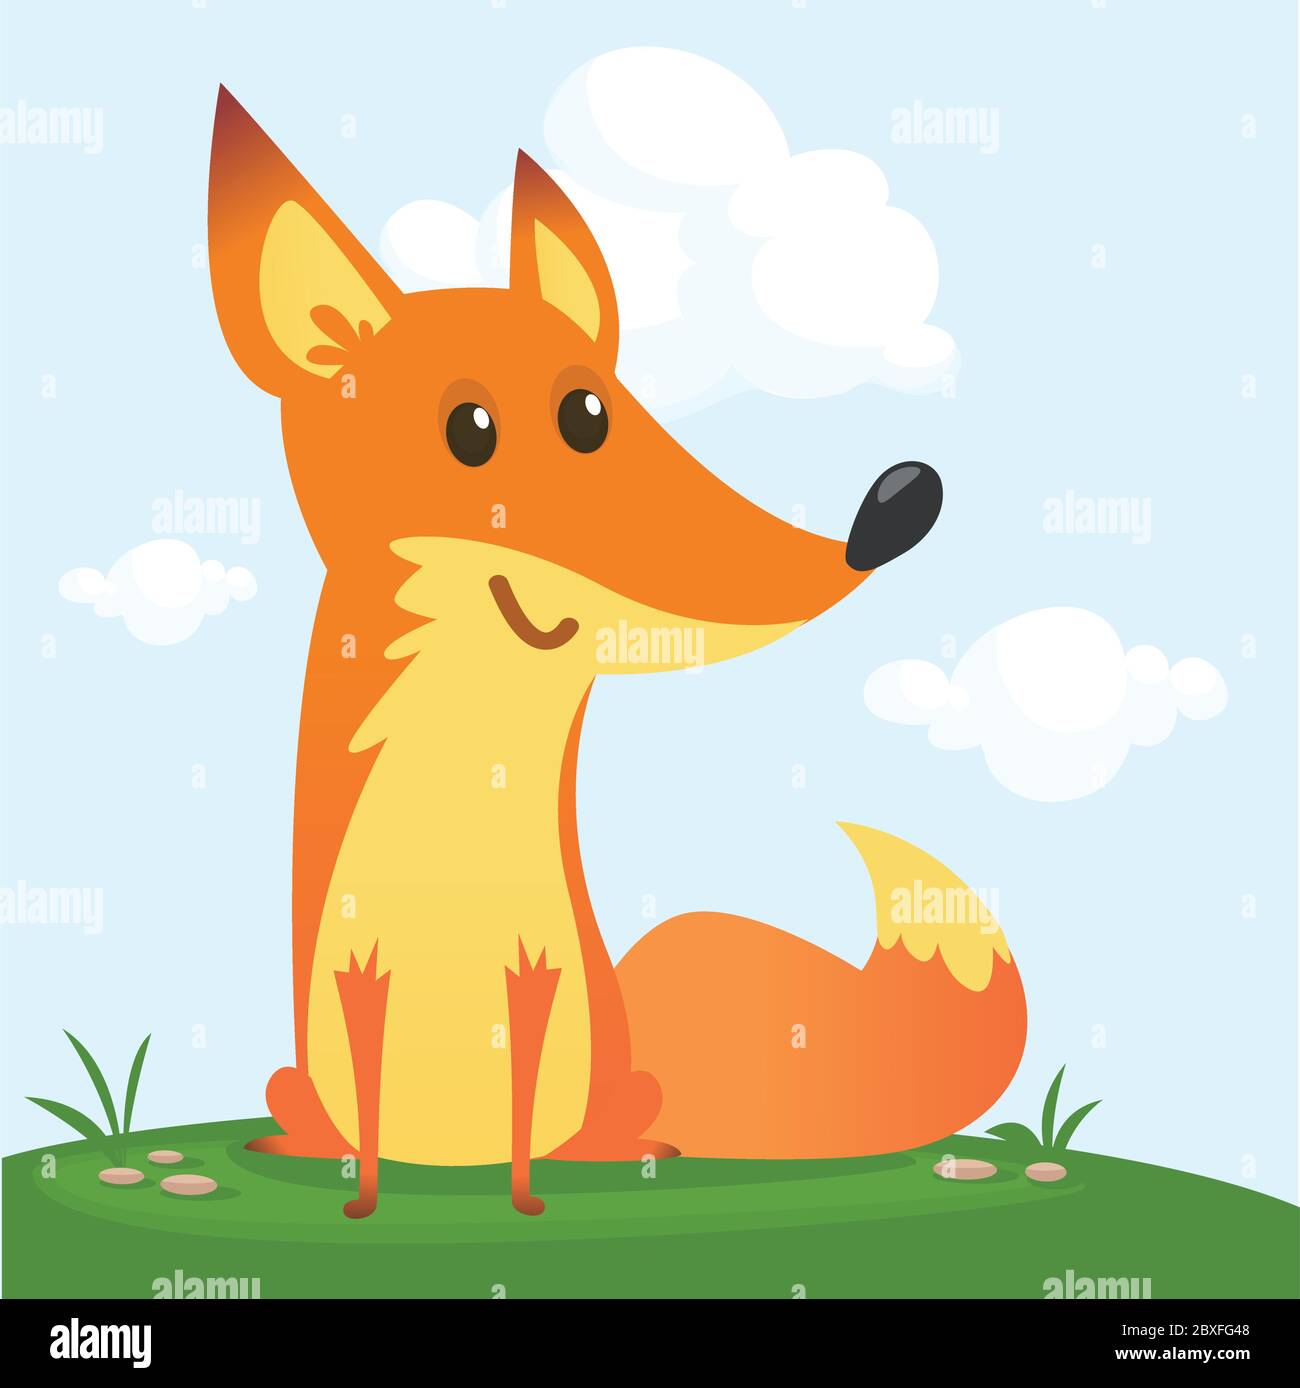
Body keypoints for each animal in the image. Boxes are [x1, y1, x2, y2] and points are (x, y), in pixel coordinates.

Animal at [207, 87, 1026, 1218]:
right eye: (470, 430)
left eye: (592, 409)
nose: (892, 510)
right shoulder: (355, 979)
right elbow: (366, 1105)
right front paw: (362, 1200)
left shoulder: (538, 974)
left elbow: (522, 1093)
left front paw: (528, 1201)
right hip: (298, 1071)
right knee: (317, 1108)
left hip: (609, 1066)